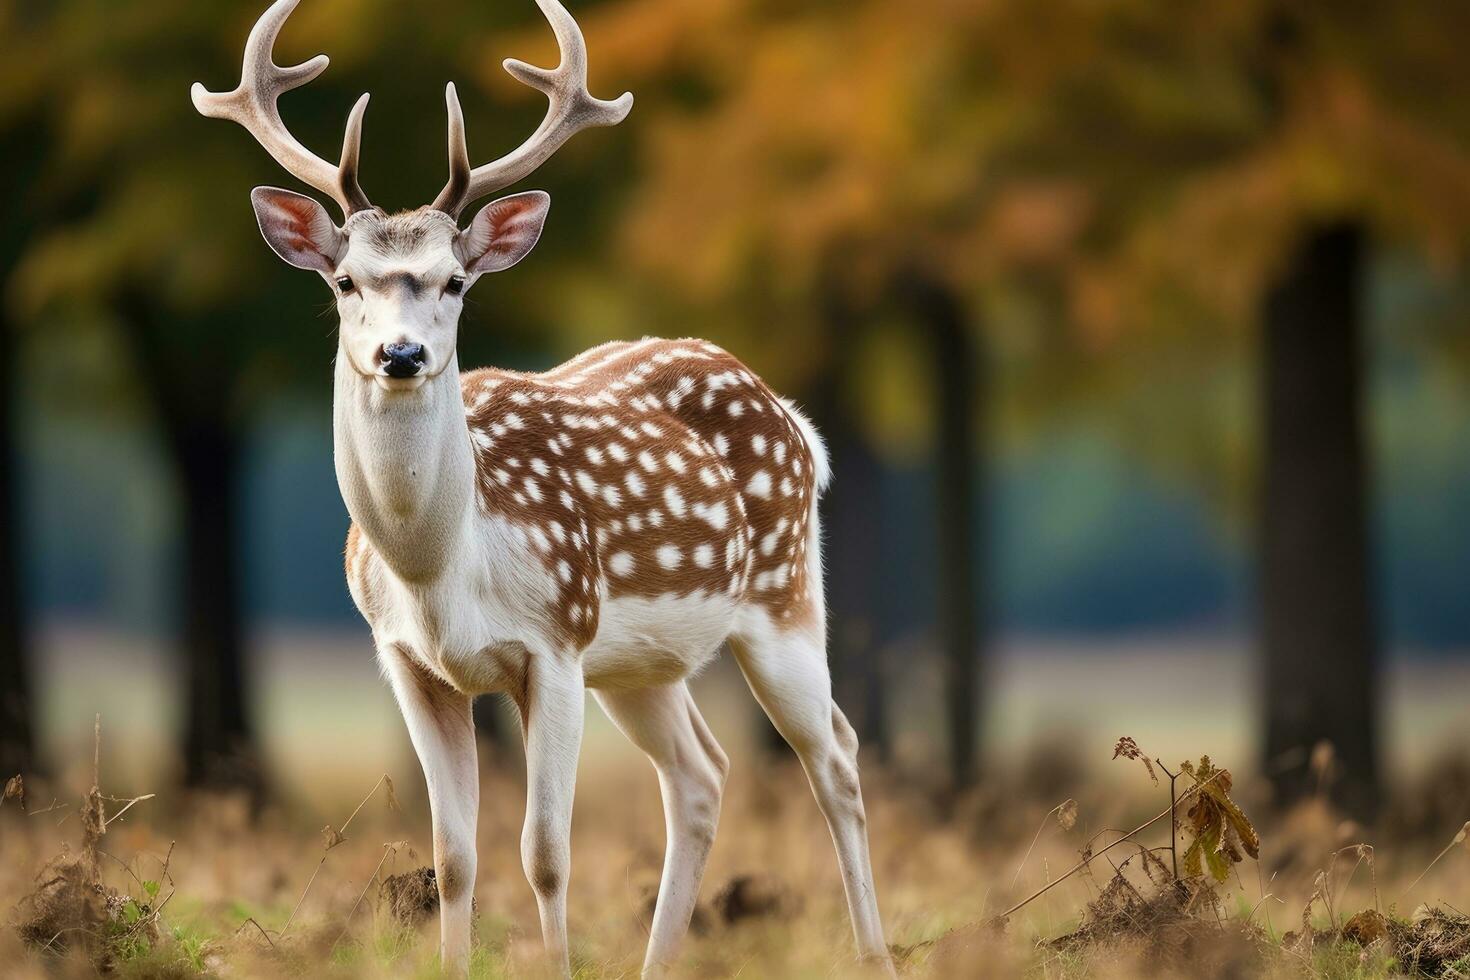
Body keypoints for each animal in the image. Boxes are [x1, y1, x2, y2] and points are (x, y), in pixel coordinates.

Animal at [192, 0, 892, 975]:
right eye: (343, 280)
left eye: (454, 279)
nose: (401, 354)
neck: (438, 570)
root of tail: (794, 420)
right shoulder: (409, 662)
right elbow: (453, 856)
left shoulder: (555, 646)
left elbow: (546, 854)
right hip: (641, 665)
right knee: (702, 774)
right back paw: (657, 960)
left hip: (782, 599)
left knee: (837, 757)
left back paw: (874, 952)